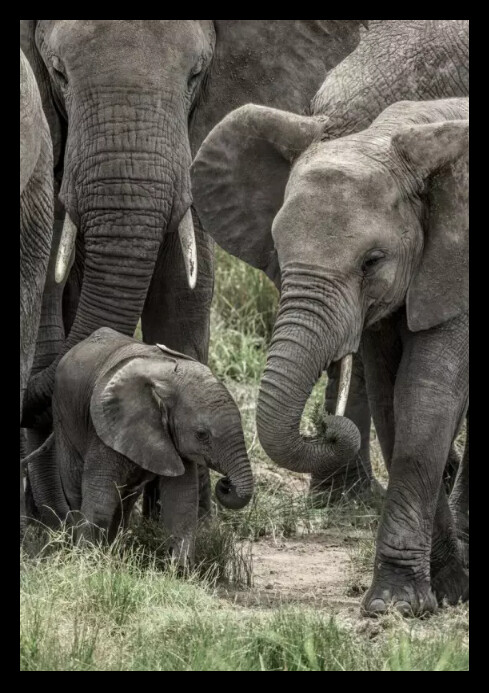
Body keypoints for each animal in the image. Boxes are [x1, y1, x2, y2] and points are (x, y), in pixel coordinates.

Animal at [24, 327, 253, 563]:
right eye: (202, 435)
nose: (225, 483)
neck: (167, 382)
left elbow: (182, 502)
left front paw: (180, 569)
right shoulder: (106, 427)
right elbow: (100, 498)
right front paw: (87, 560)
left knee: (126, 498)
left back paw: (114, 549)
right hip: (63, 416)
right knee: (79, 487)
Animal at [191, 96, 468, 615]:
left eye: (372, 262)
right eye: (278, 250)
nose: (326, 423)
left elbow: (426, 396)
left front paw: (394, 606)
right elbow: (392, 402)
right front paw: (441, 593)